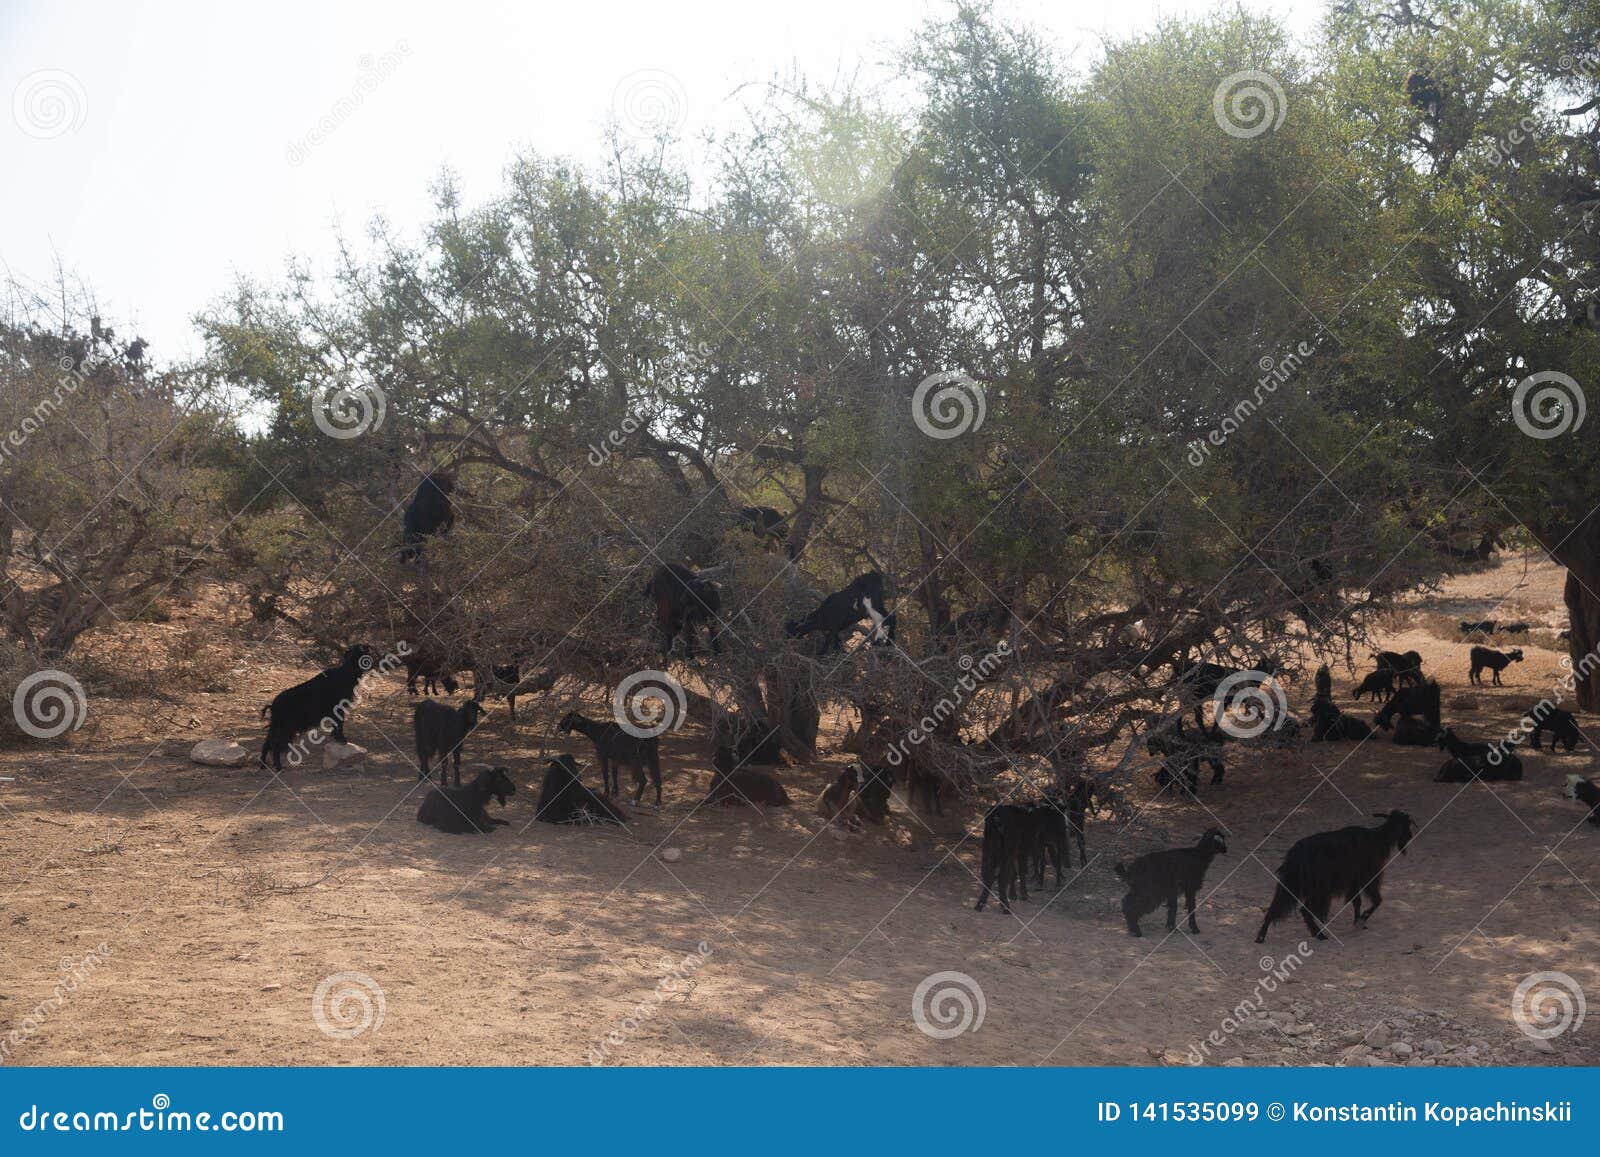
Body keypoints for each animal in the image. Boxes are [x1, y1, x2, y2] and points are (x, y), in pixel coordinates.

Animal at [1255, 810, 1414, 942]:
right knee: (1303, 910)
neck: (1377, 839)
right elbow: (1377, 901)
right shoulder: (1367, 877)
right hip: (1317, 889)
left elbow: (1357, 902)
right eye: (1407, 824)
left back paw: (1261, 936)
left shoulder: (1353, 881)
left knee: (1276, 906)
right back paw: (1320, 935)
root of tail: (1294, 857)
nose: (1411, 836)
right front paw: (1362, 919)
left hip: (1293, 883)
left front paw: (1358, 923)